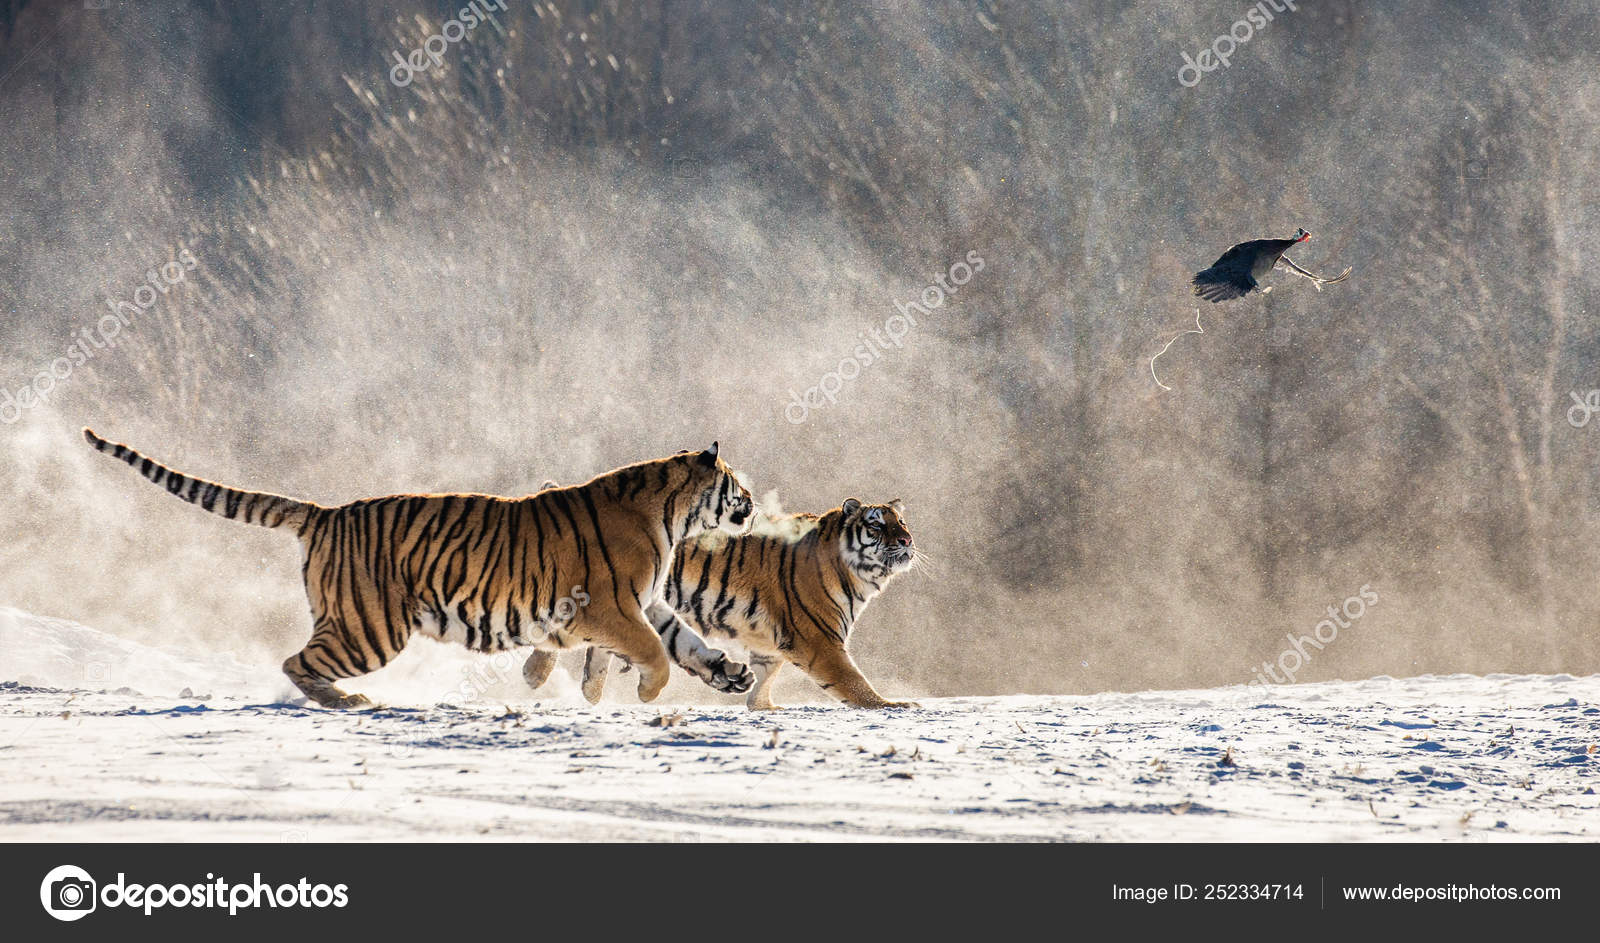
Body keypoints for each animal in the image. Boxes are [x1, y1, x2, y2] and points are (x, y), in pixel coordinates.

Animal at [82, 428, 757, 709]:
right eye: (738, 484)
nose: (751, 504)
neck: (669, 515)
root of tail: (326, 513)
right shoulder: (615, 606)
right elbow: (655, 652)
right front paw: (642, 692)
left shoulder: (639, 602)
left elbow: (683, 641)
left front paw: (730, 674)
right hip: (372, 628)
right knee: (296, 661)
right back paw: (346, 702)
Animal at [545, 497, 920, 710]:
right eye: (876, 525)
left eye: (901, 521)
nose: (906, 540)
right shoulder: (818, 640)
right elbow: (852, 680)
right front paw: (890, 704)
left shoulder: (772, 641)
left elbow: (767, 672)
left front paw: (762, 705)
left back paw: (590, 690)